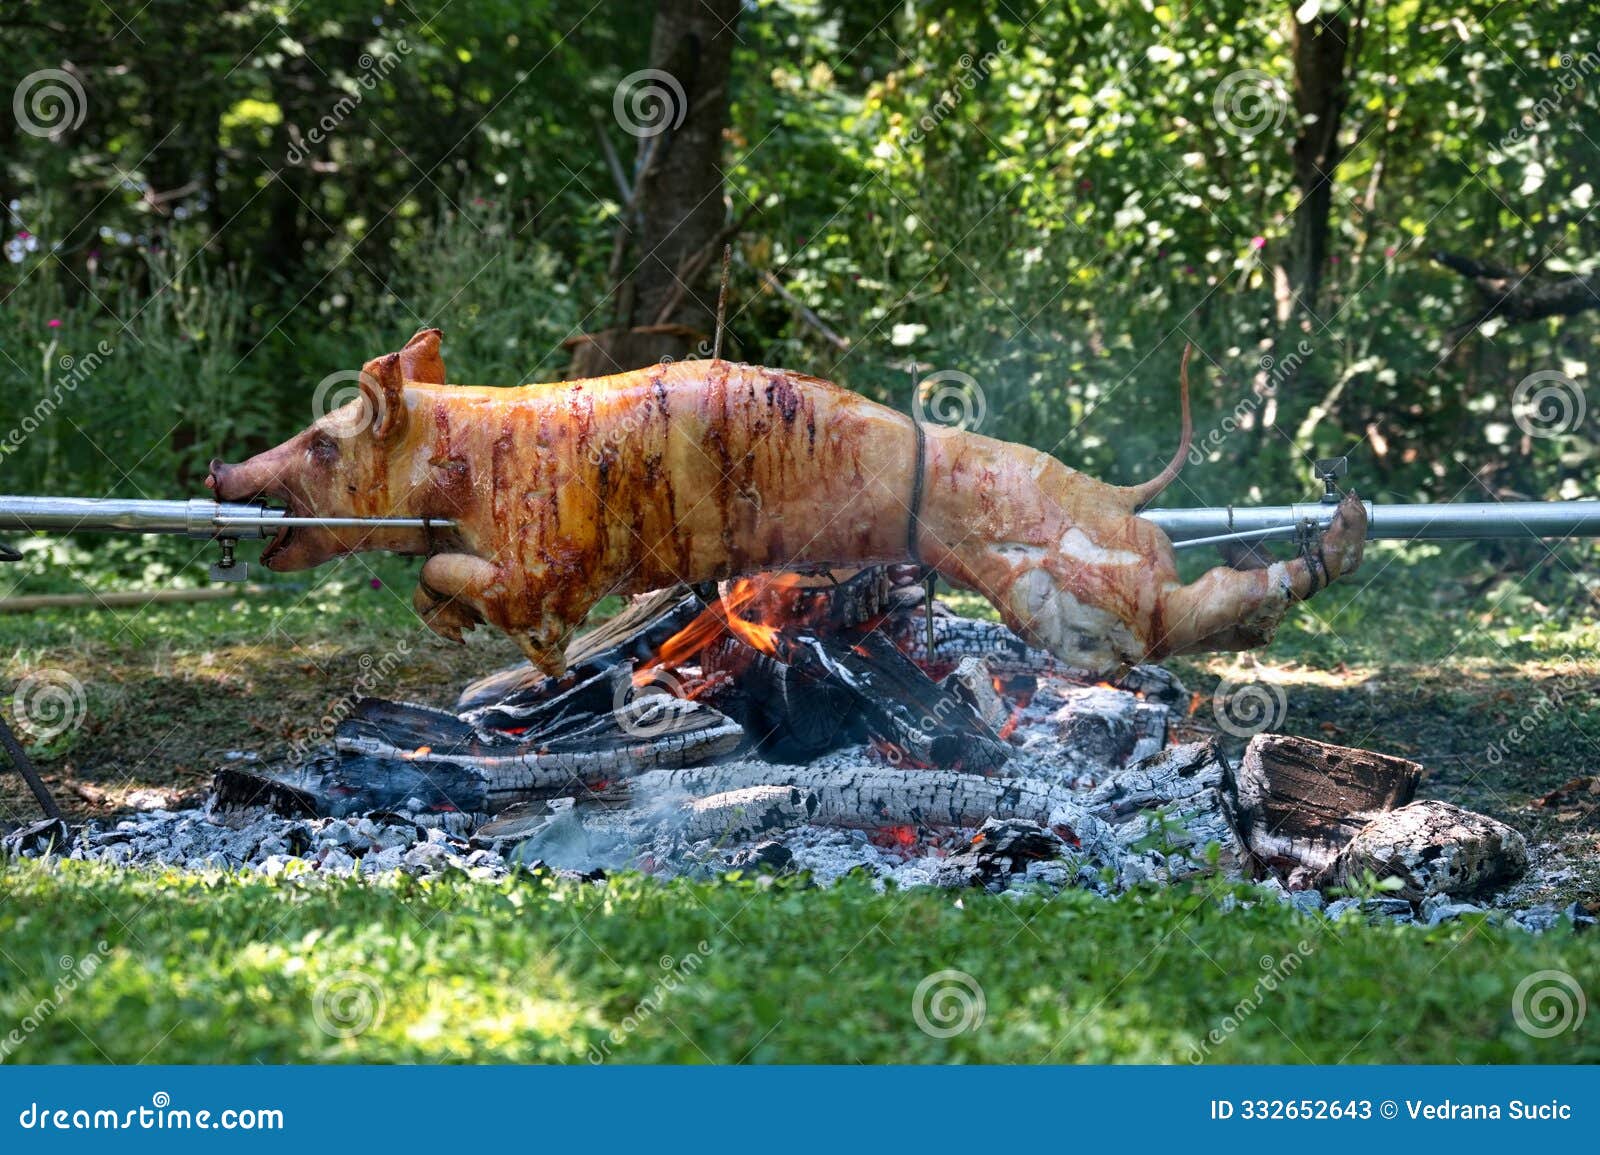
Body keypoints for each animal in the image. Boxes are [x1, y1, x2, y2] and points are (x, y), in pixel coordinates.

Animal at [207, 330, 1366, 678]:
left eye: (324, 439)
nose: (223, 481)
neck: (462, 458)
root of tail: (1123, 497)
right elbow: (437, 581)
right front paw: (445, 619)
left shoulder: (547, 567)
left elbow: (494, 592)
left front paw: (508, 641)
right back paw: (1336, 535)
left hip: (1057, 589)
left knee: (1163, 622)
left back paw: (1341, 533)